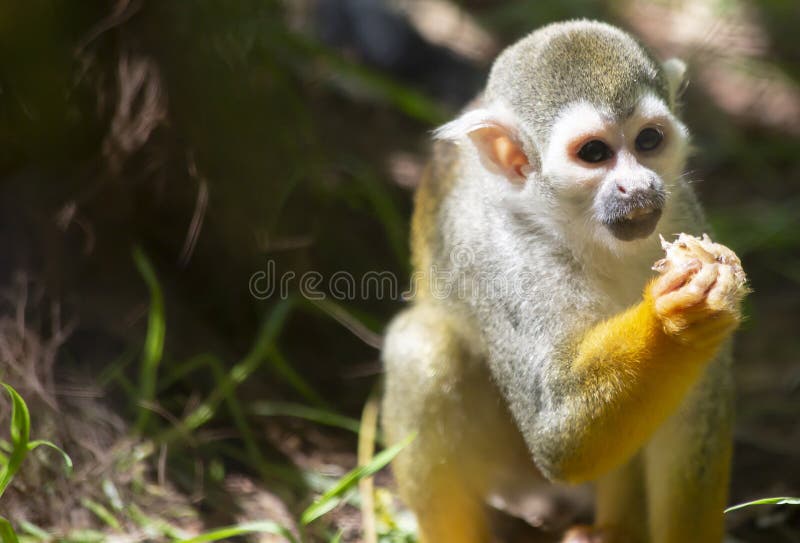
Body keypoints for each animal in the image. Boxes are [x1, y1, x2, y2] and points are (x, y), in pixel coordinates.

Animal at [381, 20, 749, 543]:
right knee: (422, 347)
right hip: (512, 471)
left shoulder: (681, 208)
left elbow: (697, 409)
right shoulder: (504, 255)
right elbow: (559, 439)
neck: (583, 232)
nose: (638, 187)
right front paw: (677, 317)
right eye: (594, 153)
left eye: (648, 141)